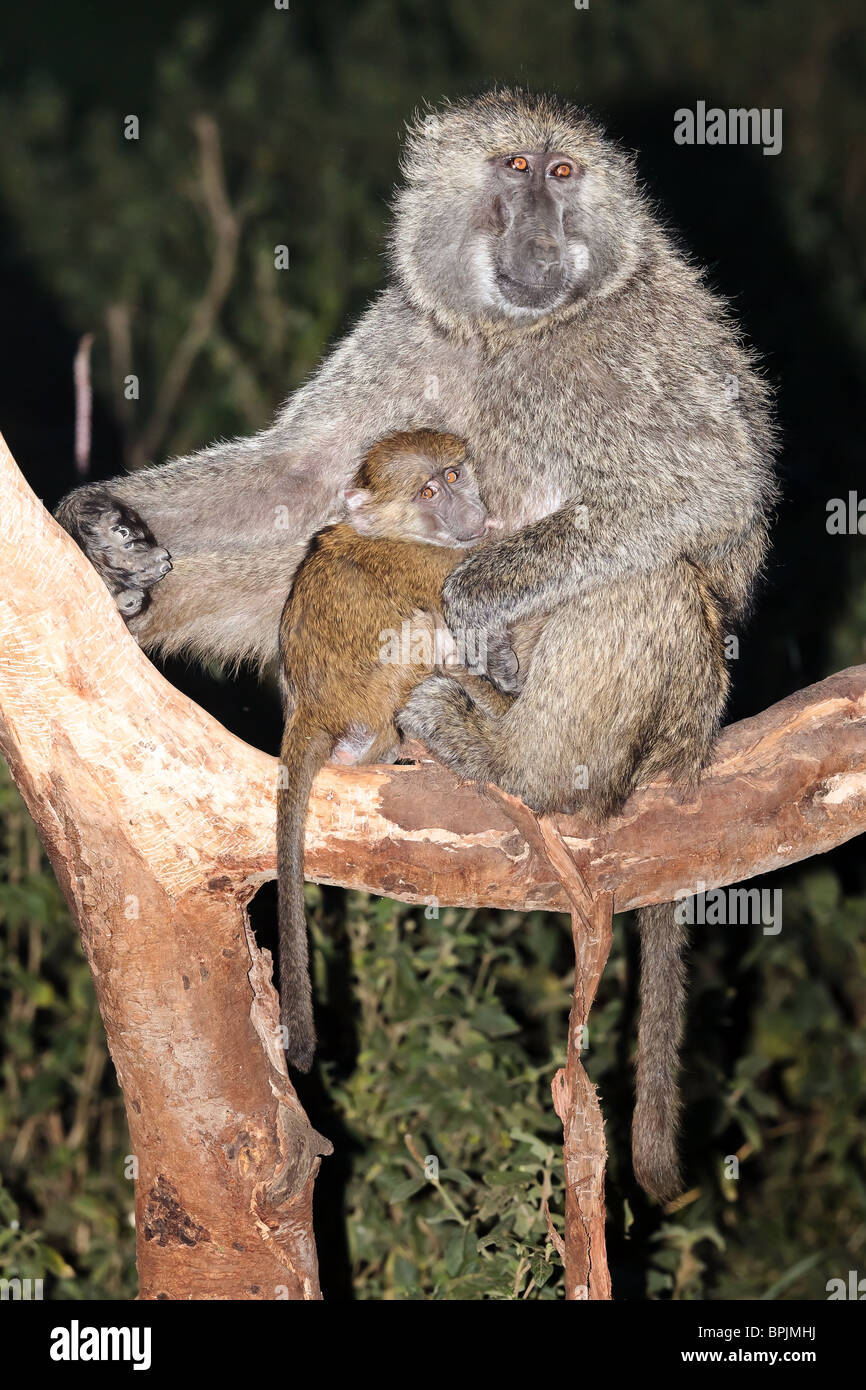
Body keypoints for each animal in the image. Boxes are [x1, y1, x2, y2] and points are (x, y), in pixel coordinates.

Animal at [276, 428, 509, 1072]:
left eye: (453, 476)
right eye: (428, 492)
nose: (469, 514)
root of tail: (314, 708)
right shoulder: (436, 566)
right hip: (377, 686)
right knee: (422, 628)